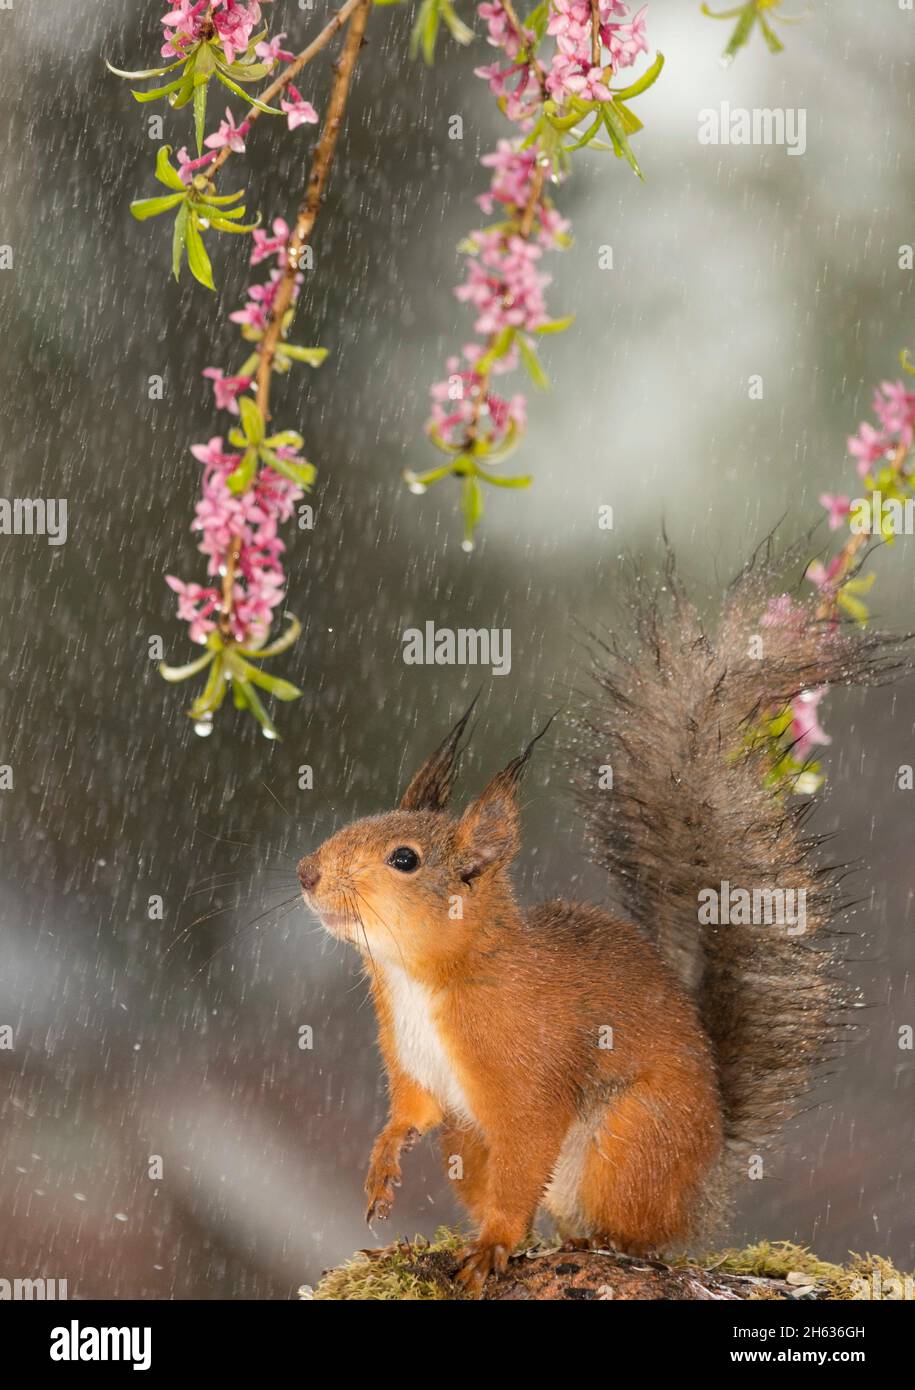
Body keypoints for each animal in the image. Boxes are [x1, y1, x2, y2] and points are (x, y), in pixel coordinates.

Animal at [297, 552, 905, 1295]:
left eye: (404, 860)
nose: (306, 873)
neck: (421, 976)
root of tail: (705, 1182)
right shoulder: (412, 1065)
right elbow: (411, 1112)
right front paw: (384, 1163)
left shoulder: (531, 1079)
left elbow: (525, 1156)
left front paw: (493, 1246)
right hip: (469, 1143)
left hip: (630, 1140)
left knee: (640, 1233)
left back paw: (599, 1243)